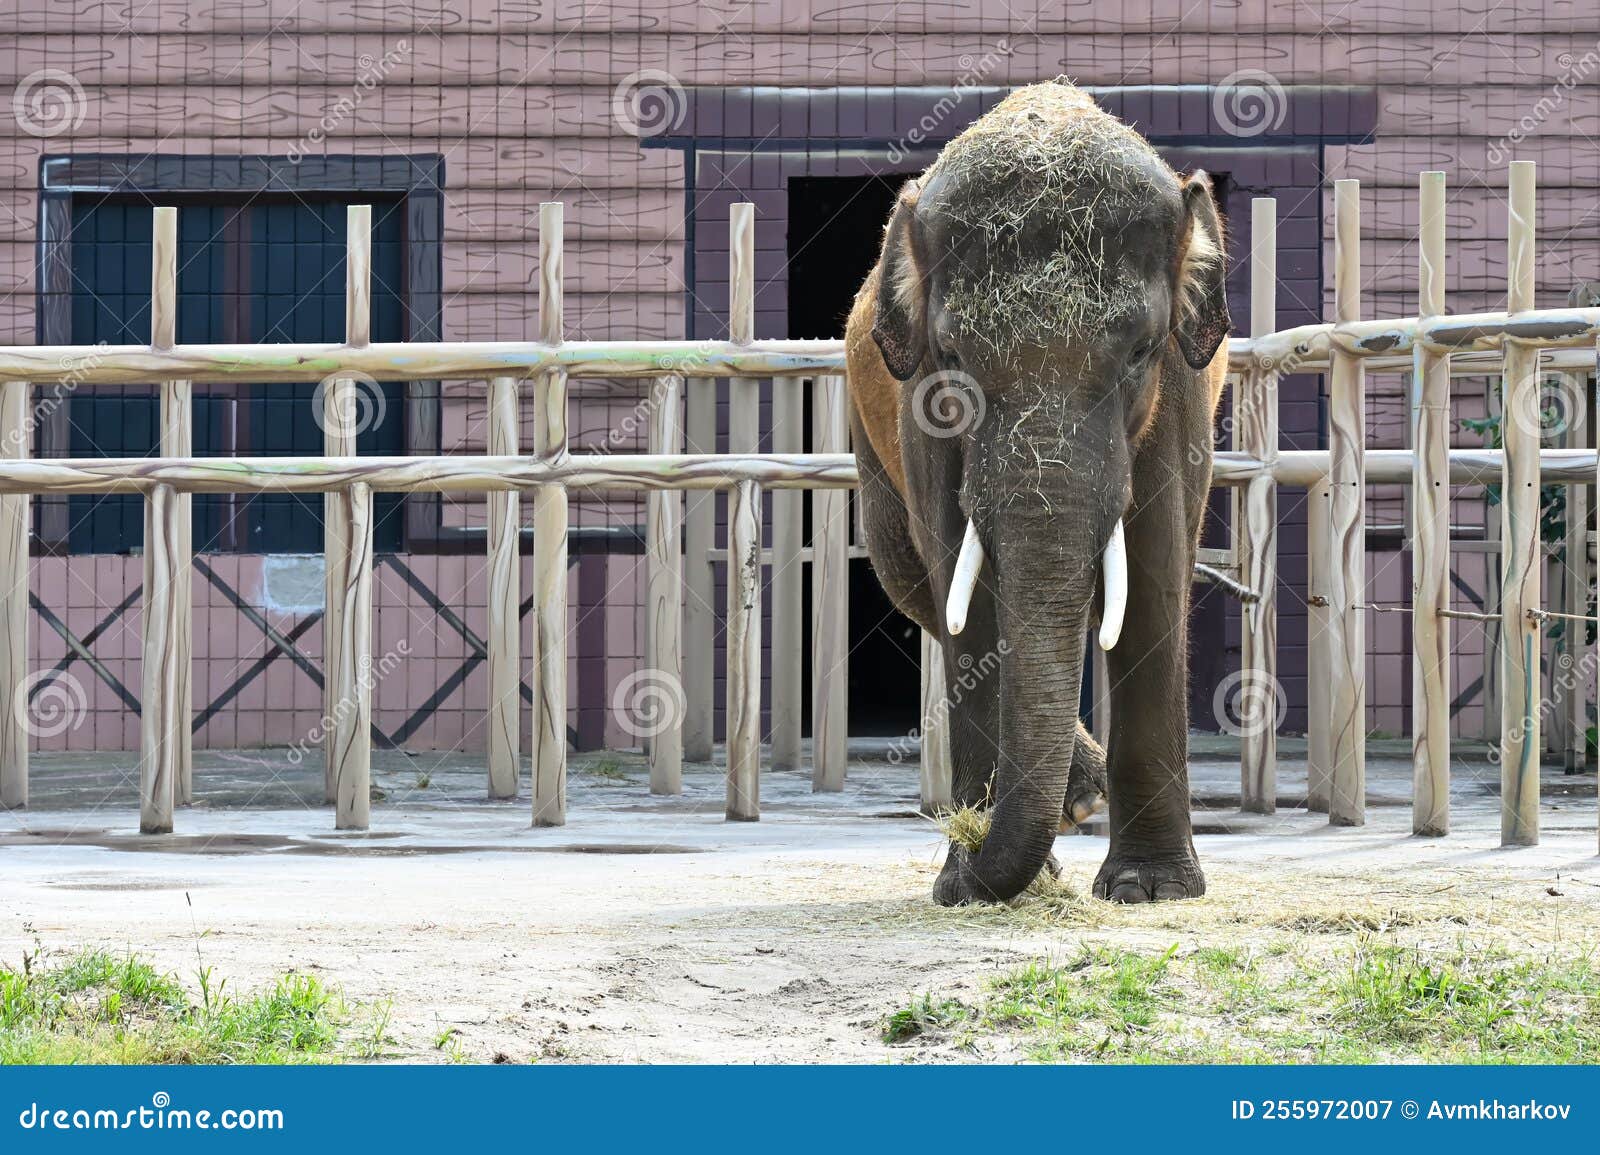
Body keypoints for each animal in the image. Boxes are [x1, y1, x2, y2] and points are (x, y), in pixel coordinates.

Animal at [844, 80, 1231, 905]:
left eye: (1140, 352)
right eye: (953, 357)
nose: (970, 847)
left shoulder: (1180, 391)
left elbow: (1155, 574)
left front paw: (1149, 889)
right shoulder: (919, 406)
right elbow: (965, 592)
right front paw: (967, 884)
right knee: (917, 587)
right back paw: (1071, 804)